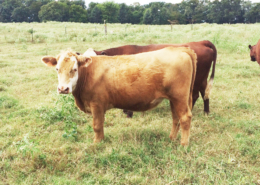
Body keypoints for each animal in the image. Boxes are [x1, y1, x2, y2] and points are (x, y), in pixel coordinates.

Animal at [41, 46, 197, 146]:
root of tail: (180, 49)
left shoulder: (96, 104)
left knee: (185, 118)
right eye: (57, 69)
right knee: (175, 118)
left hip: (179, 97)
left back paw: (183, 144)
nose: (63, 89)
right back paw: (172, 138)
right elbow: (101, 125)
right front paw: (101, 140)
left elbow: (97, 125)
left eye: (74, 69)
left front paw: (97, 144)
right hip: (174, 99)